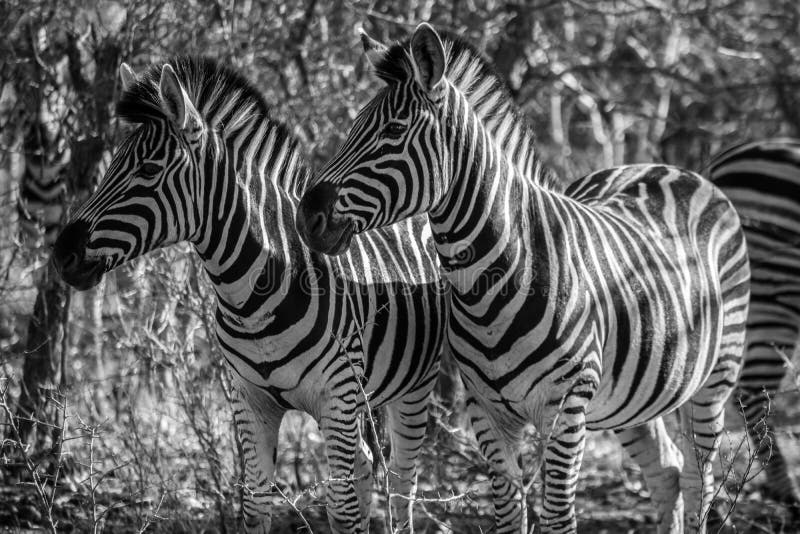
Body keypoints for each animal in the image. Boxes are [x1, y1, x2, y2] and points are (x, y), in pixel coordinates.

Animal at [51, 56, 448, 534]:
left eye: (147, 171)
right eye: (110, 166)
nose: (62, 254)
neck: (253, 296)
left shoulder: (336, 397)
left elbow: (343, 508)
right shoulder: (250, 402)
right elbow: (255, 505)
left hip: (412, 388)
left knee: (402, 485)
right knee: (368, 467)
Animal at [296, 24, 750, 533]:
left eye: (392, 132)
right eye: (353, 127)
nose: (306, 216)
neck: (492, 282)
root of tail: (670, 169)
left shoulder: (568, 407)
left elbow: (556, 517)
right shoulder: (485, 409)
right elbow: (511, 512)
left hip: (716, 377)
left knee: (698, 480)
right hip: (633, 394)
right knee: (667, 471)